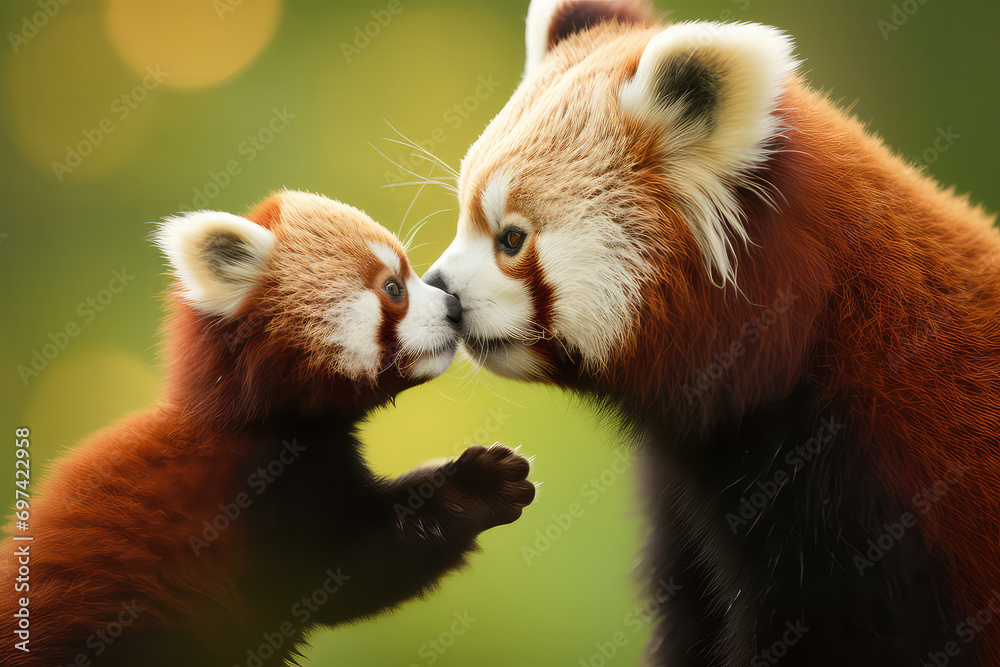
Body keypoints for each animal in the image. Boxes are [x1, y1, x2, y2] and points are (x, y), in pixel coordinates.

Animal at [1, 190, 535, 667]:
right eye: (394, 287)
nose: (453, 307)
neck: (256, 424)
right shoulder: (249, 502)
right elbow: (346, 570)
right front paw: (480, 485)